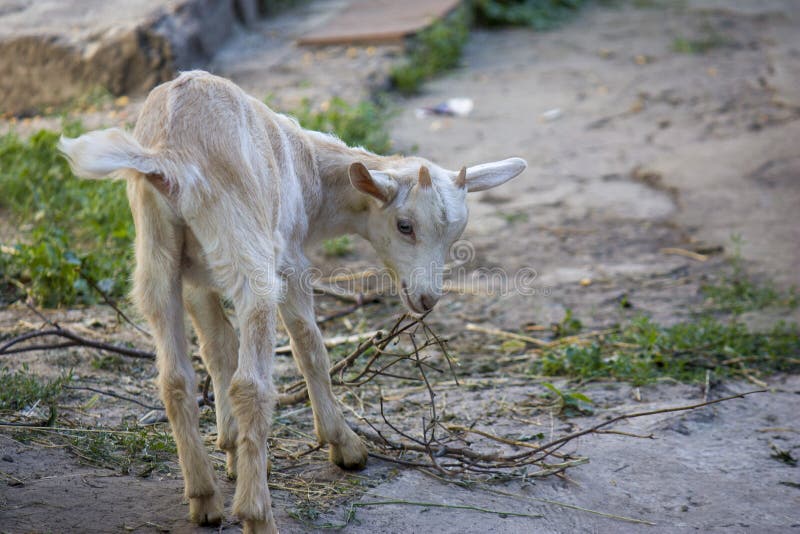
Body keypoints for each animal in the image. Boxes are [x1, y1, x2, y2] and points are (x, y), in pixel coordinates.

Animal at [59, 70, 526, 533]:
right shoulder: (290, 261)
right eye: (404, 225)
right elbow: (309, 346)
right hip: (247, 248)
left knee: (174, 378)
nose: (427, 298)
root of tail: (170, 154)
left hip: (157, 254)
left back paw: (204, 497)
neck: (310, 175)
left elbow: (219, 347)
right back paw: (257, 513)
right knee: (251, 383)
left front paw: (230, 448)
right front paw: (343, 444)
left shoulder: (197, 278)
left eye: (455, 234)